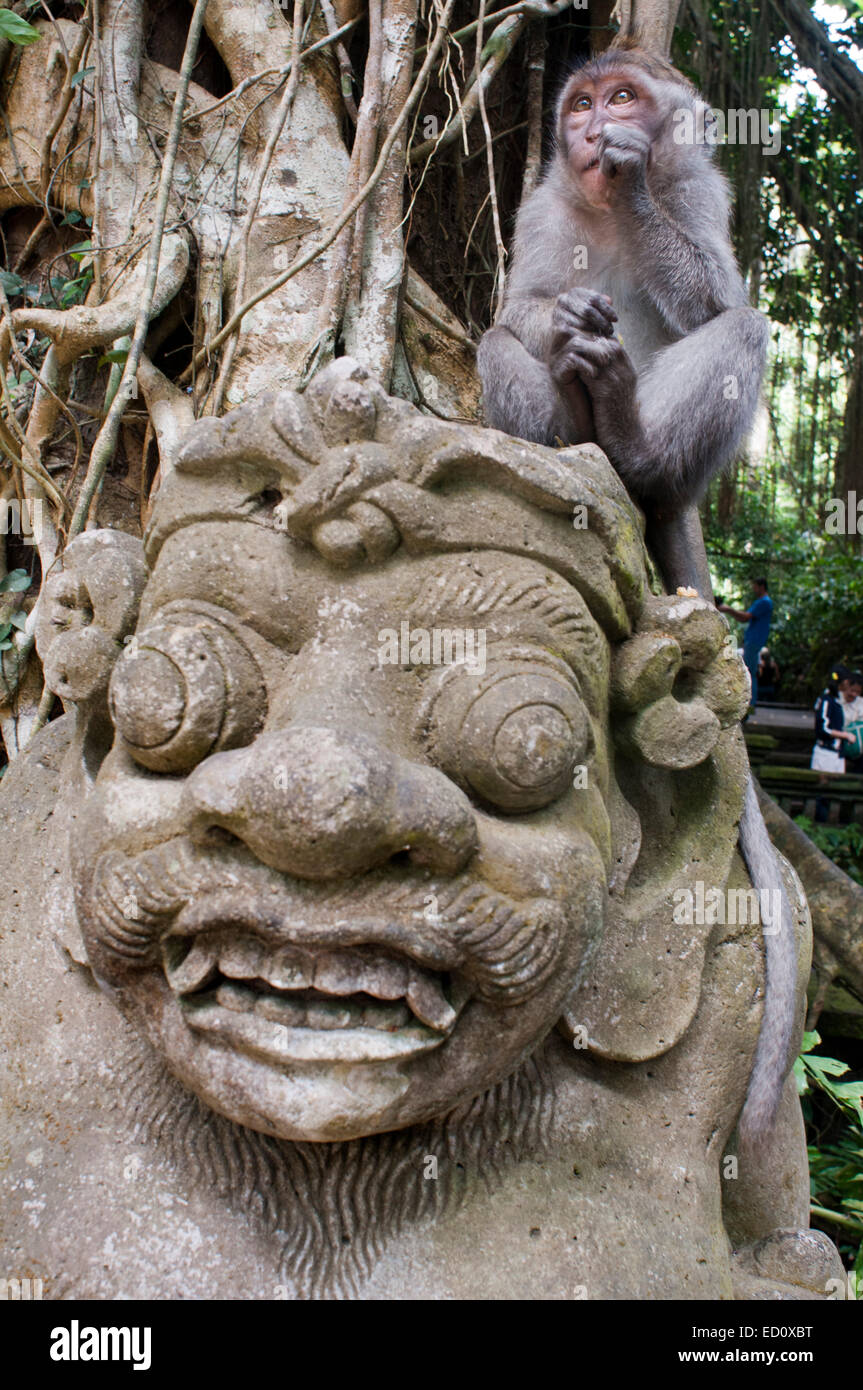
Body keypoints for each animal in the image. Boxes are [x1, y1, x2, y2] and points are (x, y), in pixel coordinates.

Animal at [477, 42, 796, 1146]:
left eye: (623, 99)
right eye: (577, 103)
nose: (588, 128)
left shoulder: (704, 187)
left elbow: (713, 296)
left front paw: (638, 184)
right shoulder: (539, 205)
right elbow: (518, 304)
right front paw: (557, 313)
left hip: (687, 464)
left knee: (743, 327)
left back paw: (629, 439)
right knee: (505, 344)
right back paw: (570, 435)